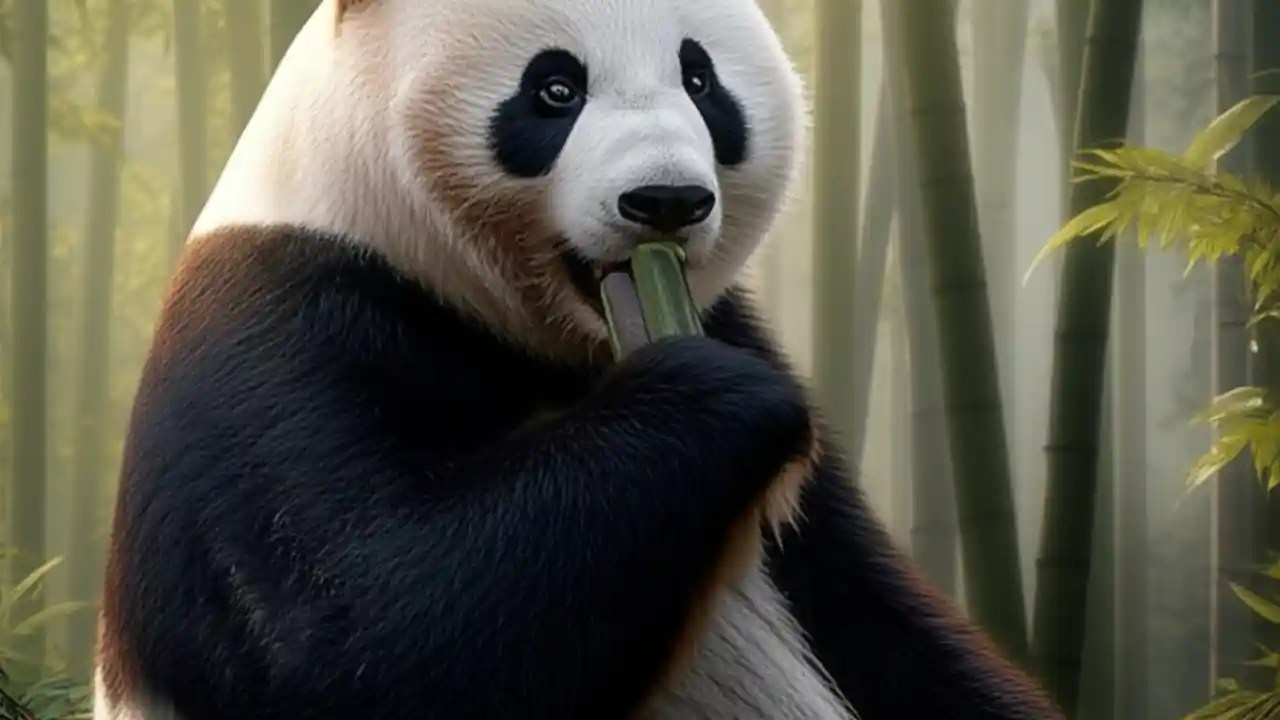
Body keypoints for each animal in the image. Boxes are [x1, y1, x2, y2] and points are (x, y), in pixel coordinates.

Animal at [94, 0, 1061, 718]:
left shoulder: (742, 356)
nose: (666, 200)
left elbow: (889, 628)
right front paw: (713, 396)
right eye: (555, 88)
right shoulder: (271, 332)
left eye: (702, 79)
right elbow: (344, 638)